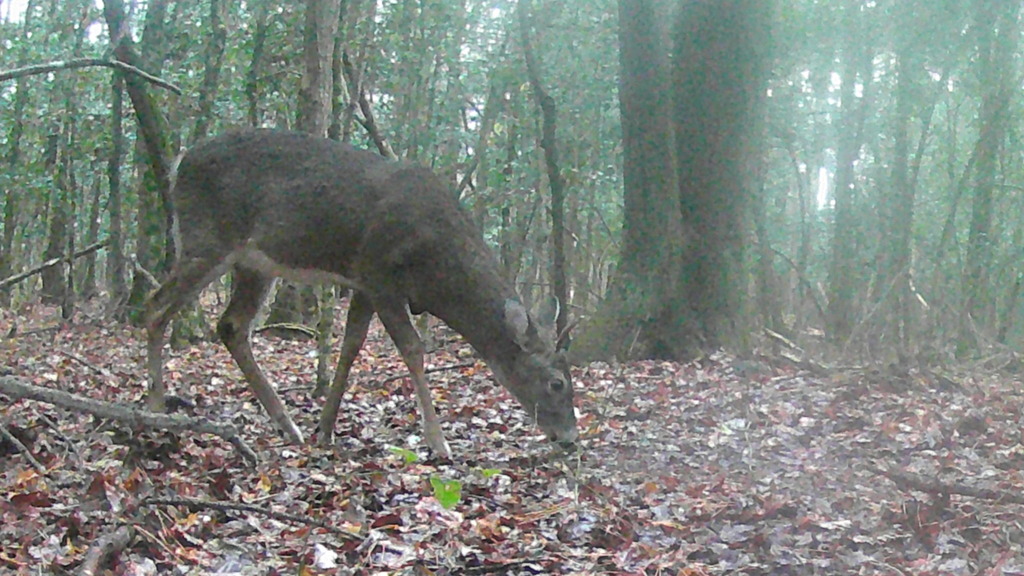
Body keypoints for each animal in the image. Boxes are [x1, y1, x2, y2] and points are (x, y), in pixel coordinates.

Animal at [143, 128, 578, 458]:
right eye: (557, 382)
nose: (571, 438)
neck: (436, 266)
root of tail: (180, 162)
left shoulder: (363, 283)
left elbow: (350, 346)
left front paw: (325, 427)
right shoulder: (381, 274)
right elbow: (413, 349)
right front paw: (439, 443)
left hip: (253, 262)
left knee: (232, 325)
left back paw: (287, 425)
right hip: (207, 237)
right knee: (155, 306)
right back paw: (156, 407)